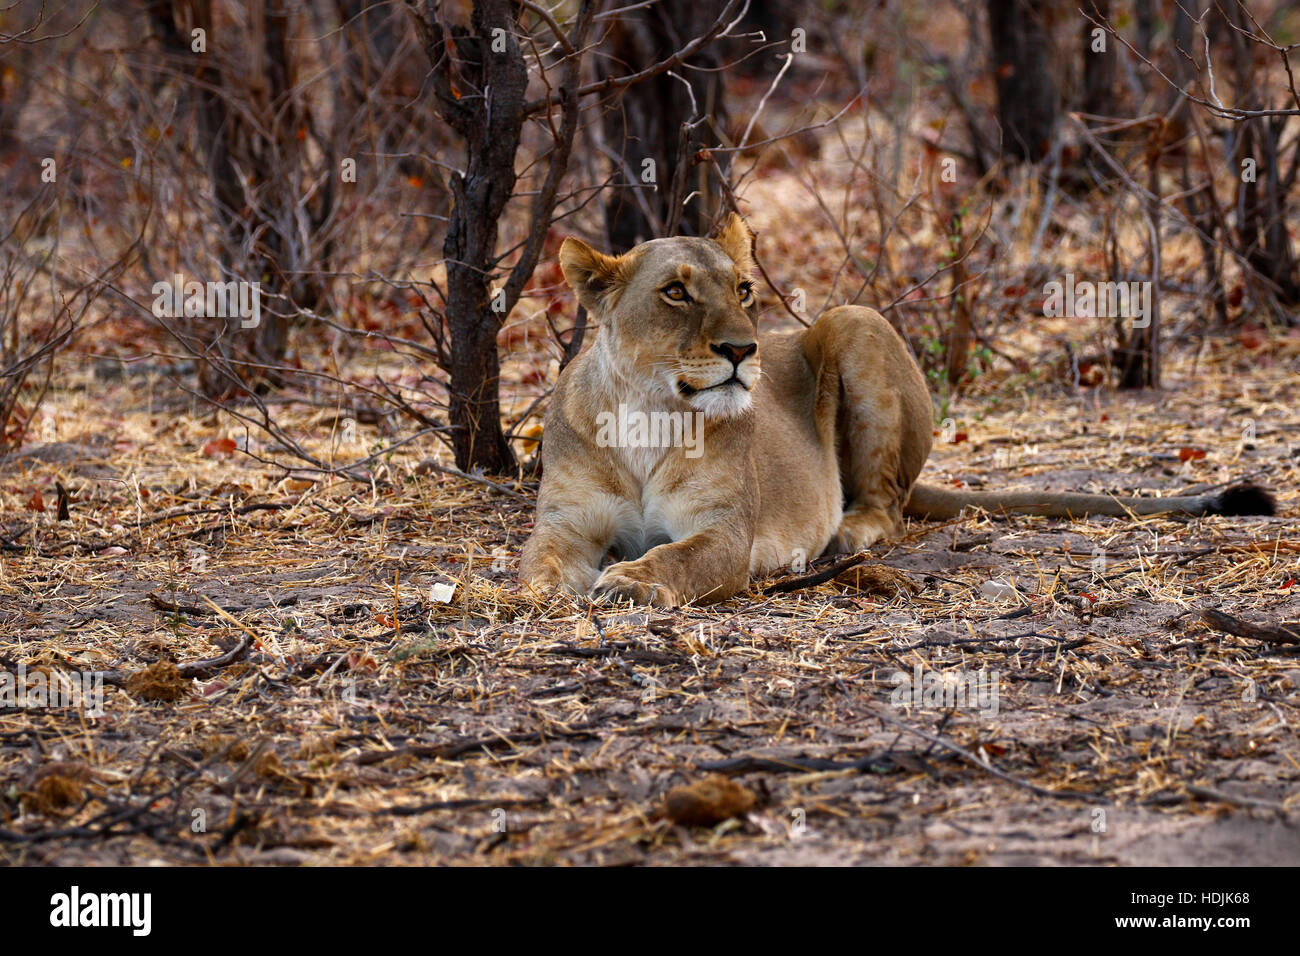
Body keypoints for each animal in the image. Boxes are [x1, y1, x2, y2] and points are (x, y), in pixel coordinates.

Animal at [519, 214, 1275, 606]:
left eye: (743, 289)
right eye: (675, 292)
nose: (742, 348)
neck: (648, 413)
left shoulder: (727, 534)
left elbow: (679, 559)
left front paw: (631, 580)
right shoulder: (567, 521)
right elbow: (539, 560)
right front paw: (547, 590)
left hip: (856, 322)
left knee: (888, 502)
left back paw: (847, 533)